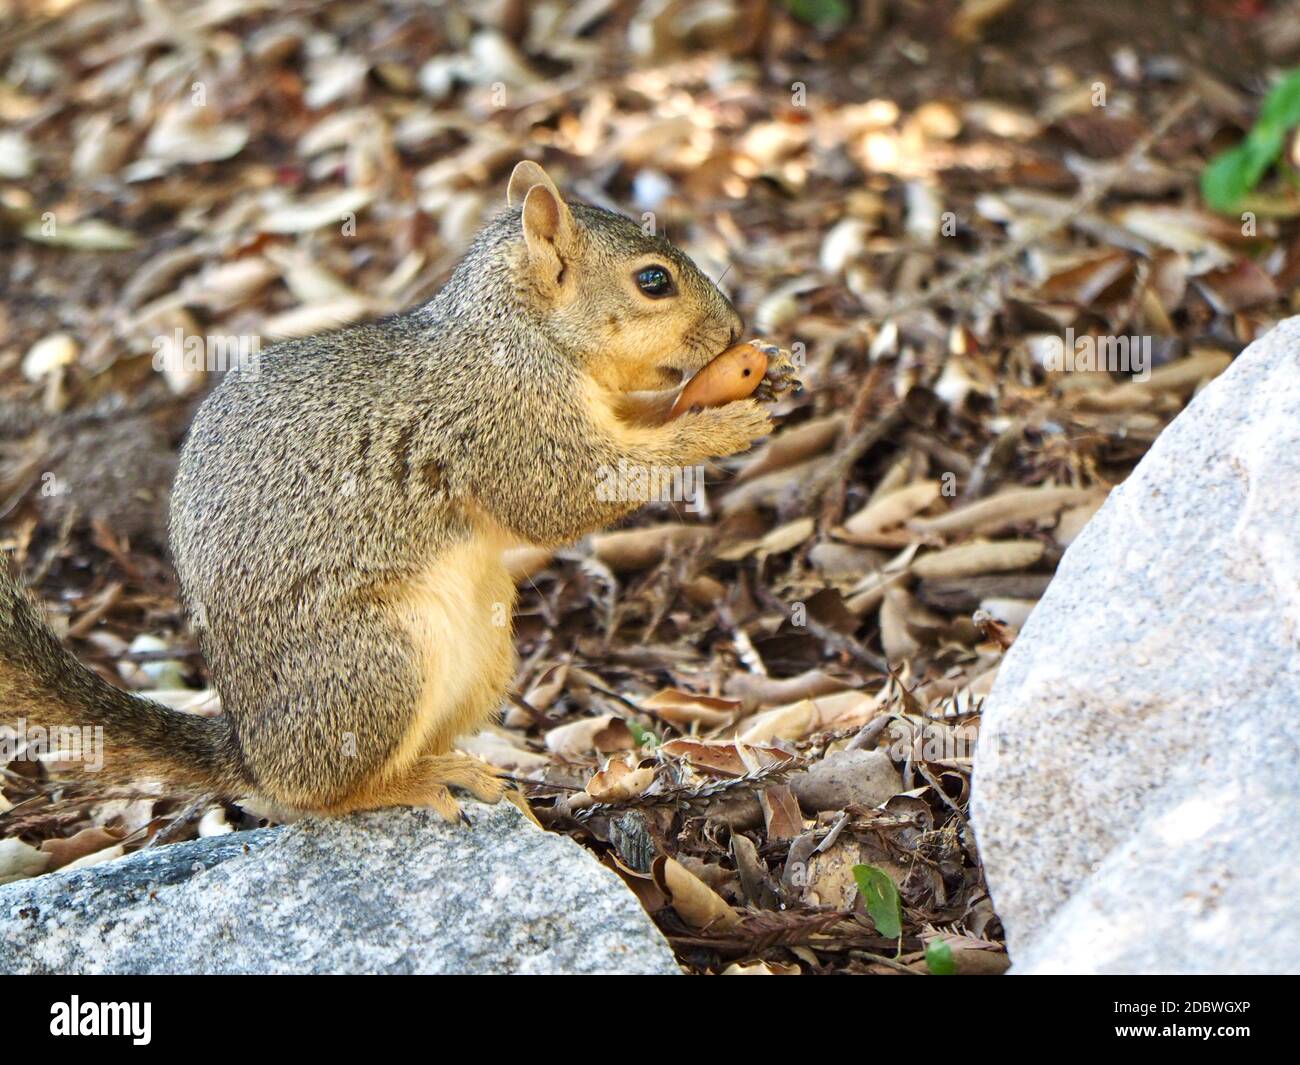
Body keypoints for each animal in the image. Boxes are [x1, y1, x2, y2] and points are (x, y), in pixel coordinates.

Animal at [0, 162, 774, 822]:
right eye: (653, 281)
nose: (736, 327)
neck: (519, 330)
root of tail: (249, 751)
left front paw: (752, 382)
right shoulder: (504, 418)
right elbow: (564, 497)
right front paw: (723, 425)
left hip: (482, 647)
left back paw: (452, 767)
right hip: (377, 662)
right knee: (319, 794)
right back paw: (412, 784)